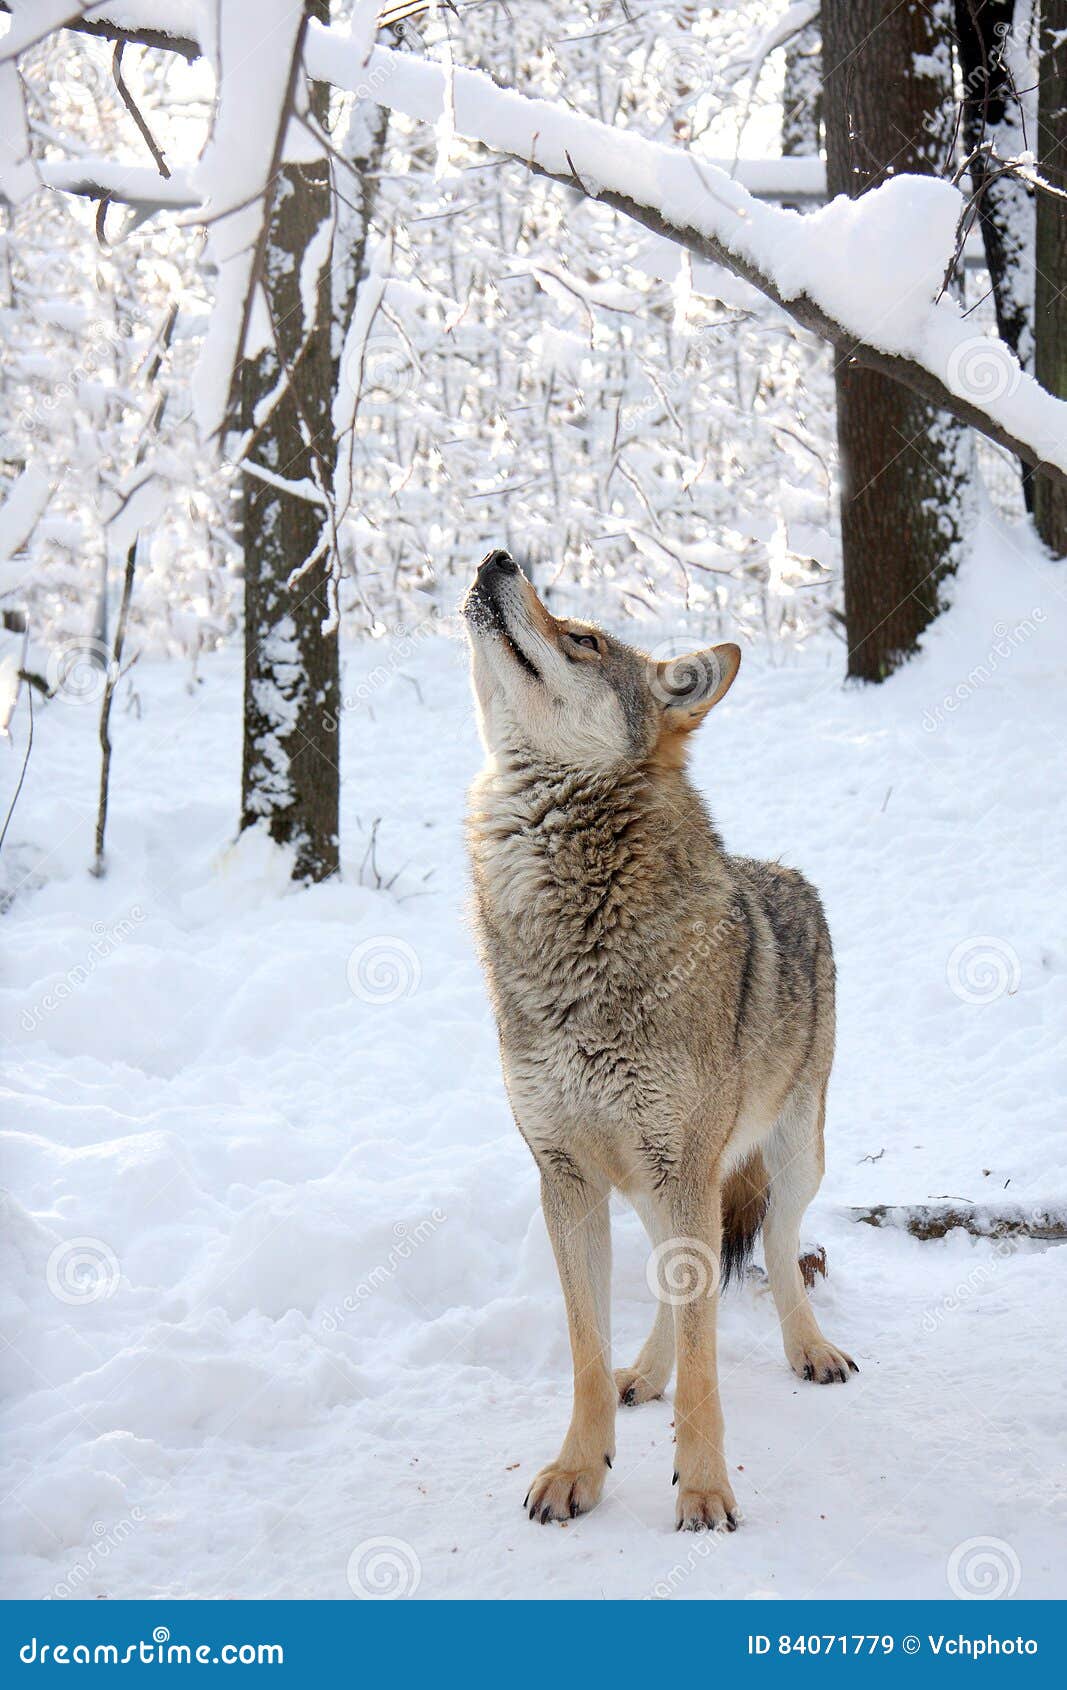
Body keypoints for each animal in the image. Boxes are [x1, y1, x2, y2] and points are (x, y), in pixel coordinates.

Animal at [464, 550, 856, 1533]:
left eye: (583, 639)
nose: (495, 559)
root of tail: (790, 874)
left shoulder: (681, 1171)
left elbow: (709, 1368)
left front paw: (706, 1490)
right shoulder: (564, 1176)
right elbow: (585, 1350)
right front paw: (579, 1469)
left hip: (786, 1158)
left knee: (778, 1252)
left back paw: (810, 1351)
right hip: (654, 1189)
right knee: (679, 1294)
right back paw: (643, 1373)